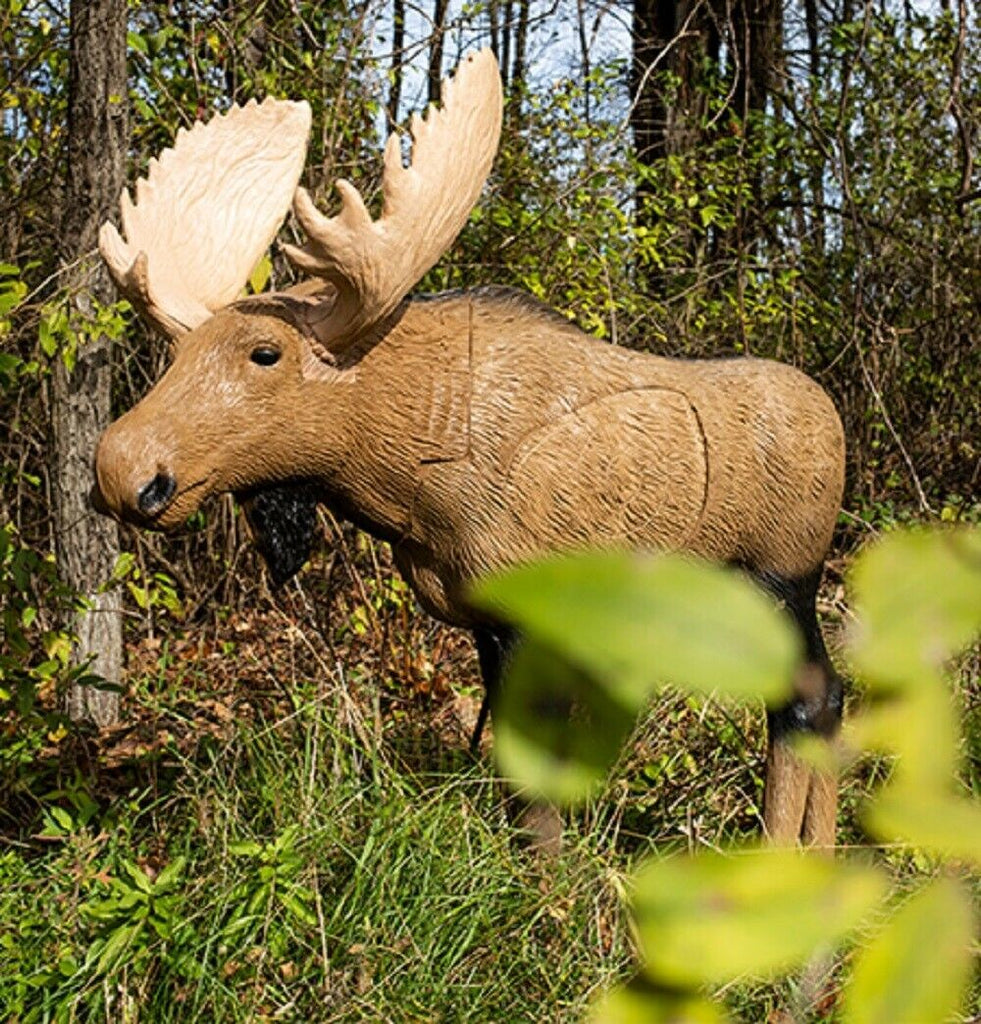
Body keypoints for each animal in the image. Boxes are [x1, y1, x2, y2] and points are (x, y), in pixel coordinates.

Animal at [92, 50, 845, 854]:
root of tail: (833, 420)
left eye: (266, 352)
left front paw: (547, 880)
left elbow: (535, 778)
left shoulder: (530, 604)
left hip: (780, 577)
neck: (405, 484)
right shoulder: (481, 612)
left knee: (808, 699)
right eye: (177, 354)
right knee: (823, 698)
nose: (124, 470)